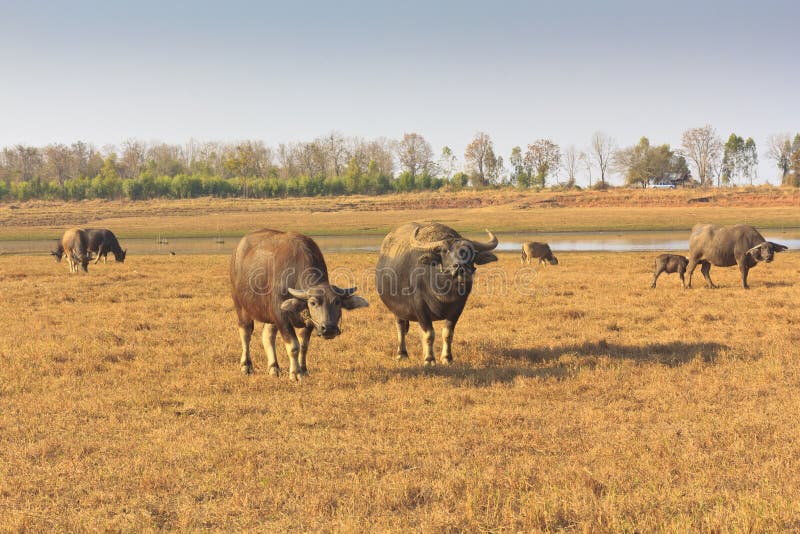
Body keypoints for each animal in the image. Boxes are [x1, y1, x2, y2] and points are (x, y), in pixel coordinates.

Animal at [230, 229, 368, 379]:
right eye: (312, 303)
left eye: (337, 302)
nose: (329, 329)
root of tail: (237, 250)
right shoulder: (281, 316)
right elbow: (294, 346)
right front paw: (295, 373)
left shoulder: (307, 322)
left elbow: (303, 346)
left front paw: (304, 370)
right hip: (241, 307)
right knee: (245, 333)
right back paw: (246, 366)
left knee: (268, 336)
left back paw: (274, 368)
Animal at [375, 223, 498, 365]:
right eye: (445, 251)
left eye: (469, 252)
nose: (459, 267)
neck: (444, 293)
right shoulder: (420, 307)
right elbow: (429, 334)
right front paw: (429, 359)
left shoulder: (457, 309)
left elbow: (447, 333)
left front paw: (447, 358)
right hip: (397, 309)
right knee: (401, 327)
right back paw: (402, 354)